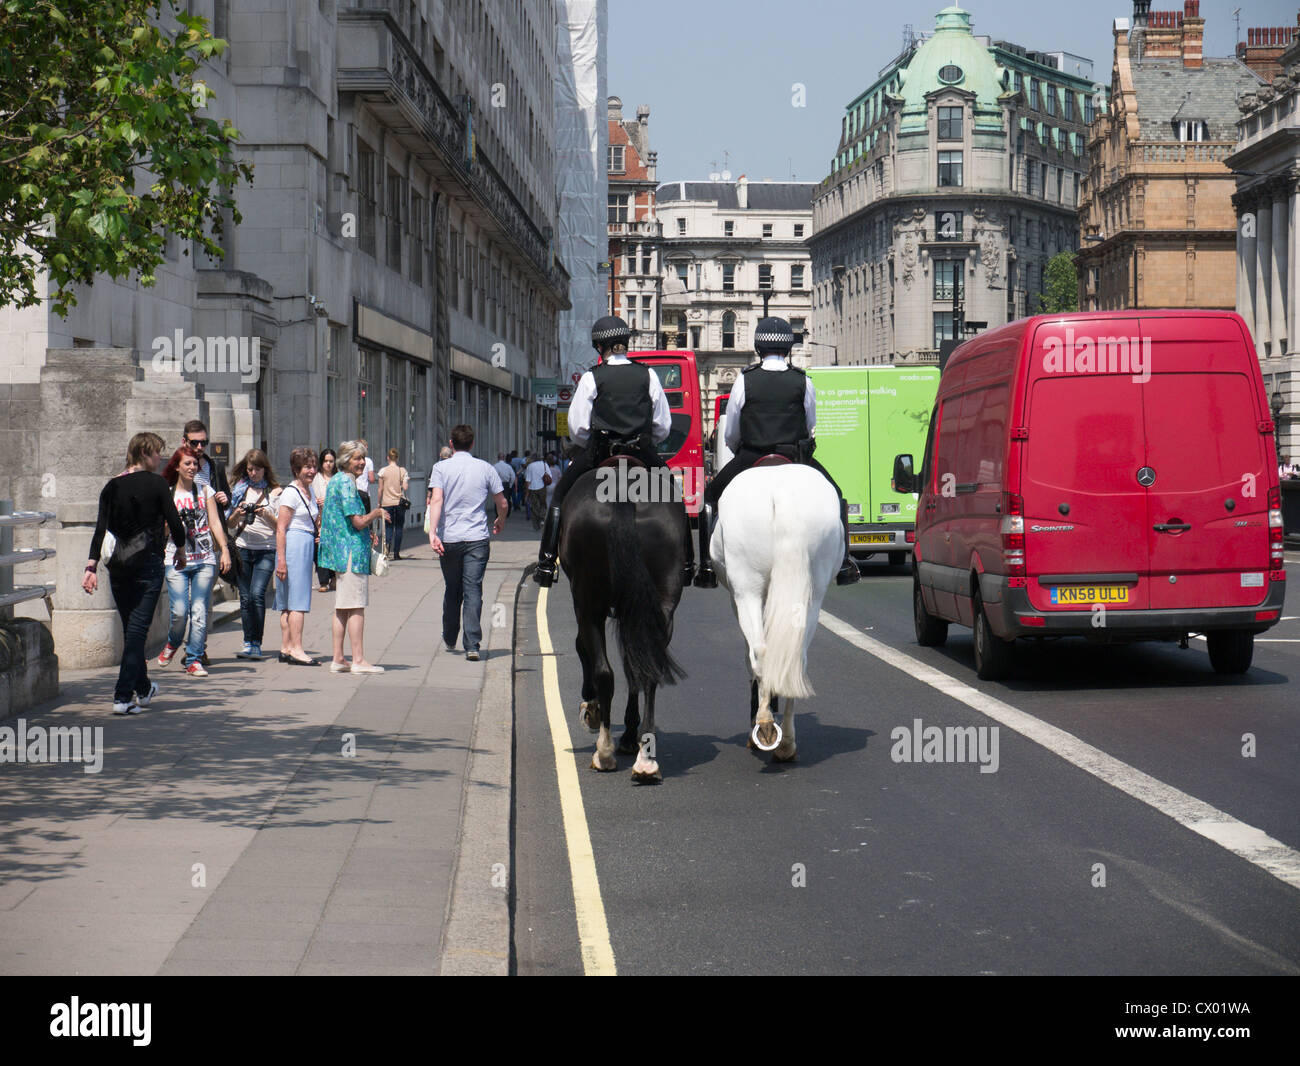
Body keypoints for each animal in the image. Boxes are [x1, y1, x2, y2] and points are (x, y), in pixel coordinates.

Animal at [558, 455, 687, 782]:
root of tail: (623, 489)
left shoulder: (586, 606)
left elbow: (585, 650)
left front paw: (592, 709)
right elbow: (633, 666)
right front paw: (630, 733)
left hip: (589, 603)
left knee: (604, 671)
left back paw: (604, 751)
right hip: (660, 605)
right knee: (649, 669)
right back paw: (646, 759)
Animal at [711, 462, 842, 763]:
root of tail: (782, 494)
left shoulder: (737, 599)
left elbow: (752, 658)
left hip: (746, 590)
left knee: (760, 653)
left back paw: (766, 727)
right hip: (813, 593)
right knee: (795, 658)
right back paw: (787, 744)